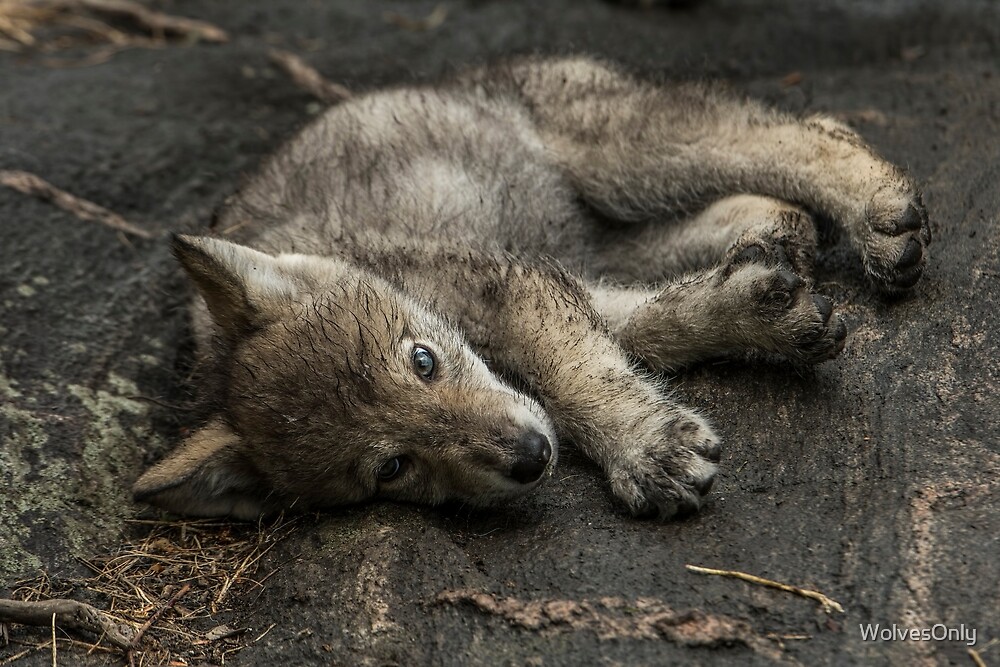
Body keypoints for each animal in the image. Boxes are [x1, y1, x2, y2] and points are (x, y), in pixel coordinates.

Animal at [132, 56, 930, 521]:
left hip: (619, 154)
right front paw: (765, 316)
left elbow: (577, 372)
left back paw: (879, 212)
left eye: (423, 360)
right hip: (594, 234)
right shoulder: (558, 284)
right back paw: (775, 232)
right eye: (393, 467)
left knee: (786, 136)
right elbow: (654, 328)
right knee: (753, 190)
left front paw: (649, 450)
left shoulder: (511, 286)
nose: (530, 457)